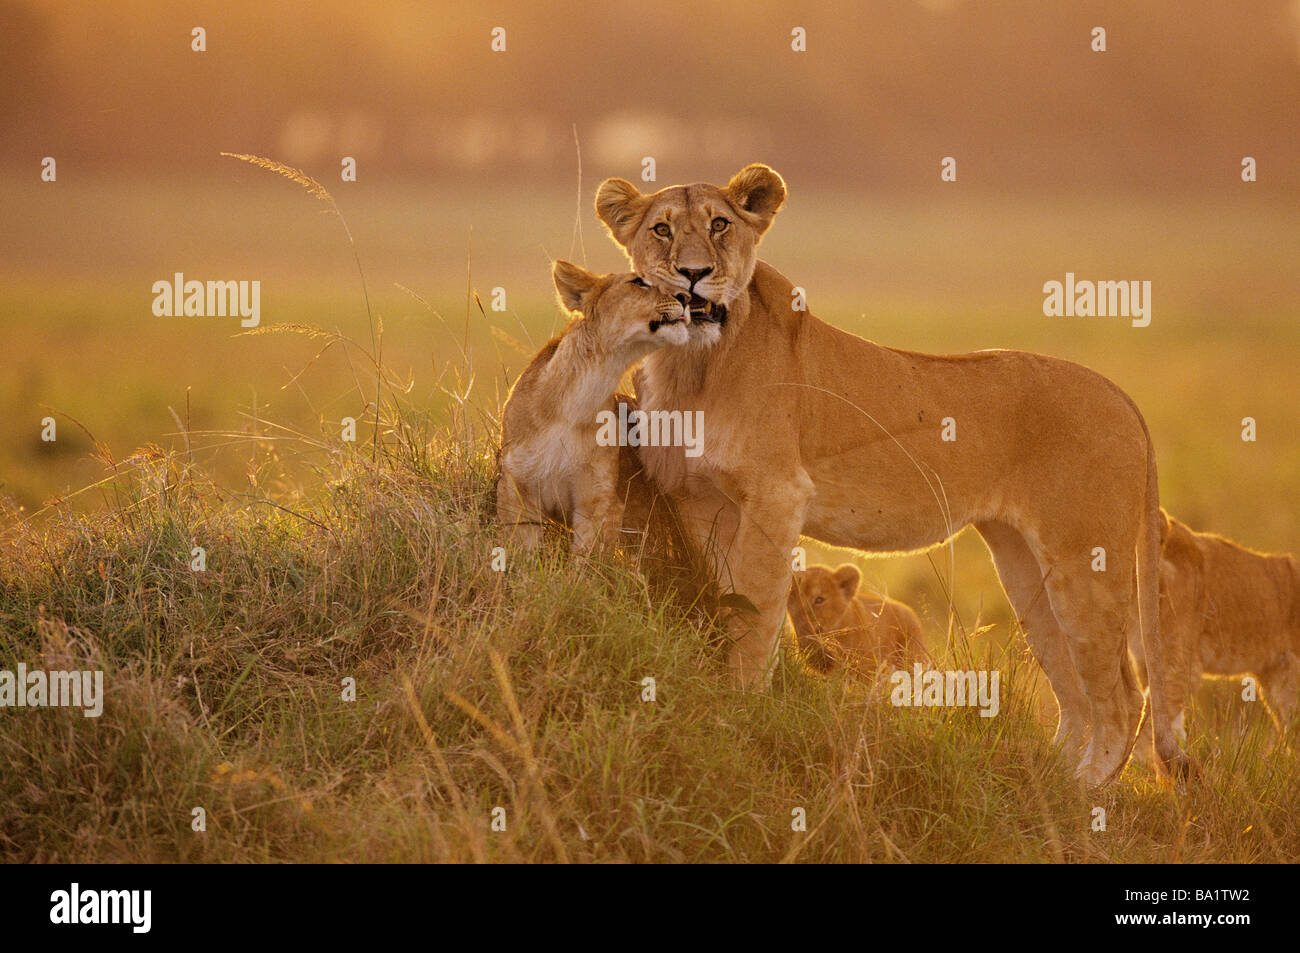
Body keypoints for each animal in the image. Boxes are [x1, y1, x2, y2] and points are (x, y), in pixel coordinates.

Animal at [496, 260, 694, 554]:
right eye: (639, 282)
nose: (687, 297)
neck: (576, 403)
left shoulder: (599, 502)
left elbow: (586, 561)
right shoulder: (516, 494)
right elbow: (524, 553)